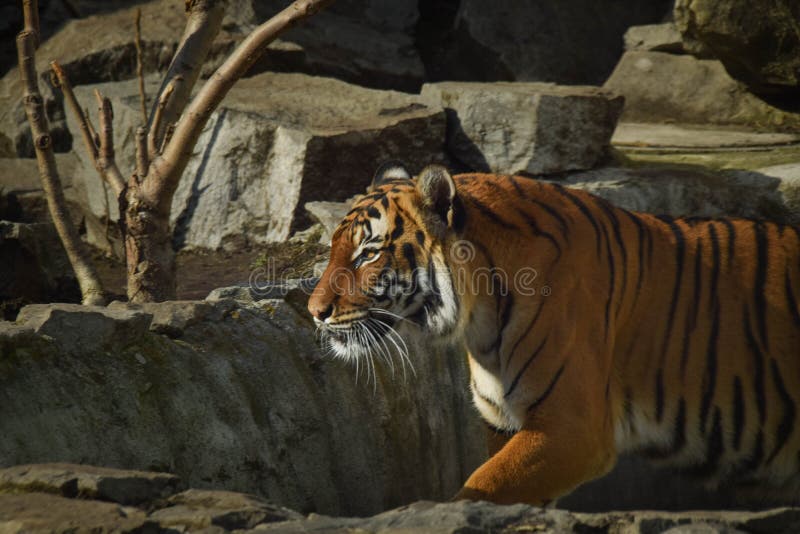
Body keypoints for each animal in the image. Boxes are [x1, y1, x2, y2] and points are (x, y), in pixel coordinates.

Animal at [307, 161, 800, 506]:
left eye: (368, 254)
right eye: (334, 249)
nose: (314, 312)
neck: (481, 322)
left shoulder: (570, 428)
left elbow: (481, 487)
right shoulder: (505, 425)